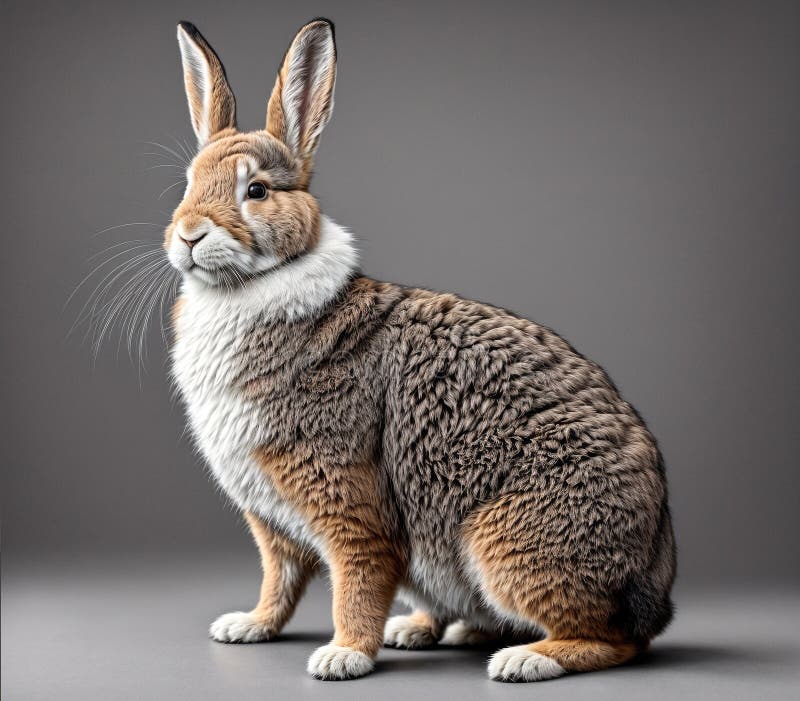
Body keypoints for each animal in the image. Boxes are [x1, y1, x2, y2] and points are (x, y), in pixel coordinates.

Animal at [166, 18, 676, 682]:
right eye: (187, 184)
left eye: (256, 190)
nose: (188, 234)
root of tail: (654, 579)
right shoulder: (271, 521)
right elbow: (279, 580)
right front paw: (248, 626)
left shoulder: (347, 500)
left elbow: (357, 579)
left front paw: (343, 656)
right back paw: (427, 629)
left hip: (509, 541)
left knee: (614, 642)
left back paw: (524, 660)